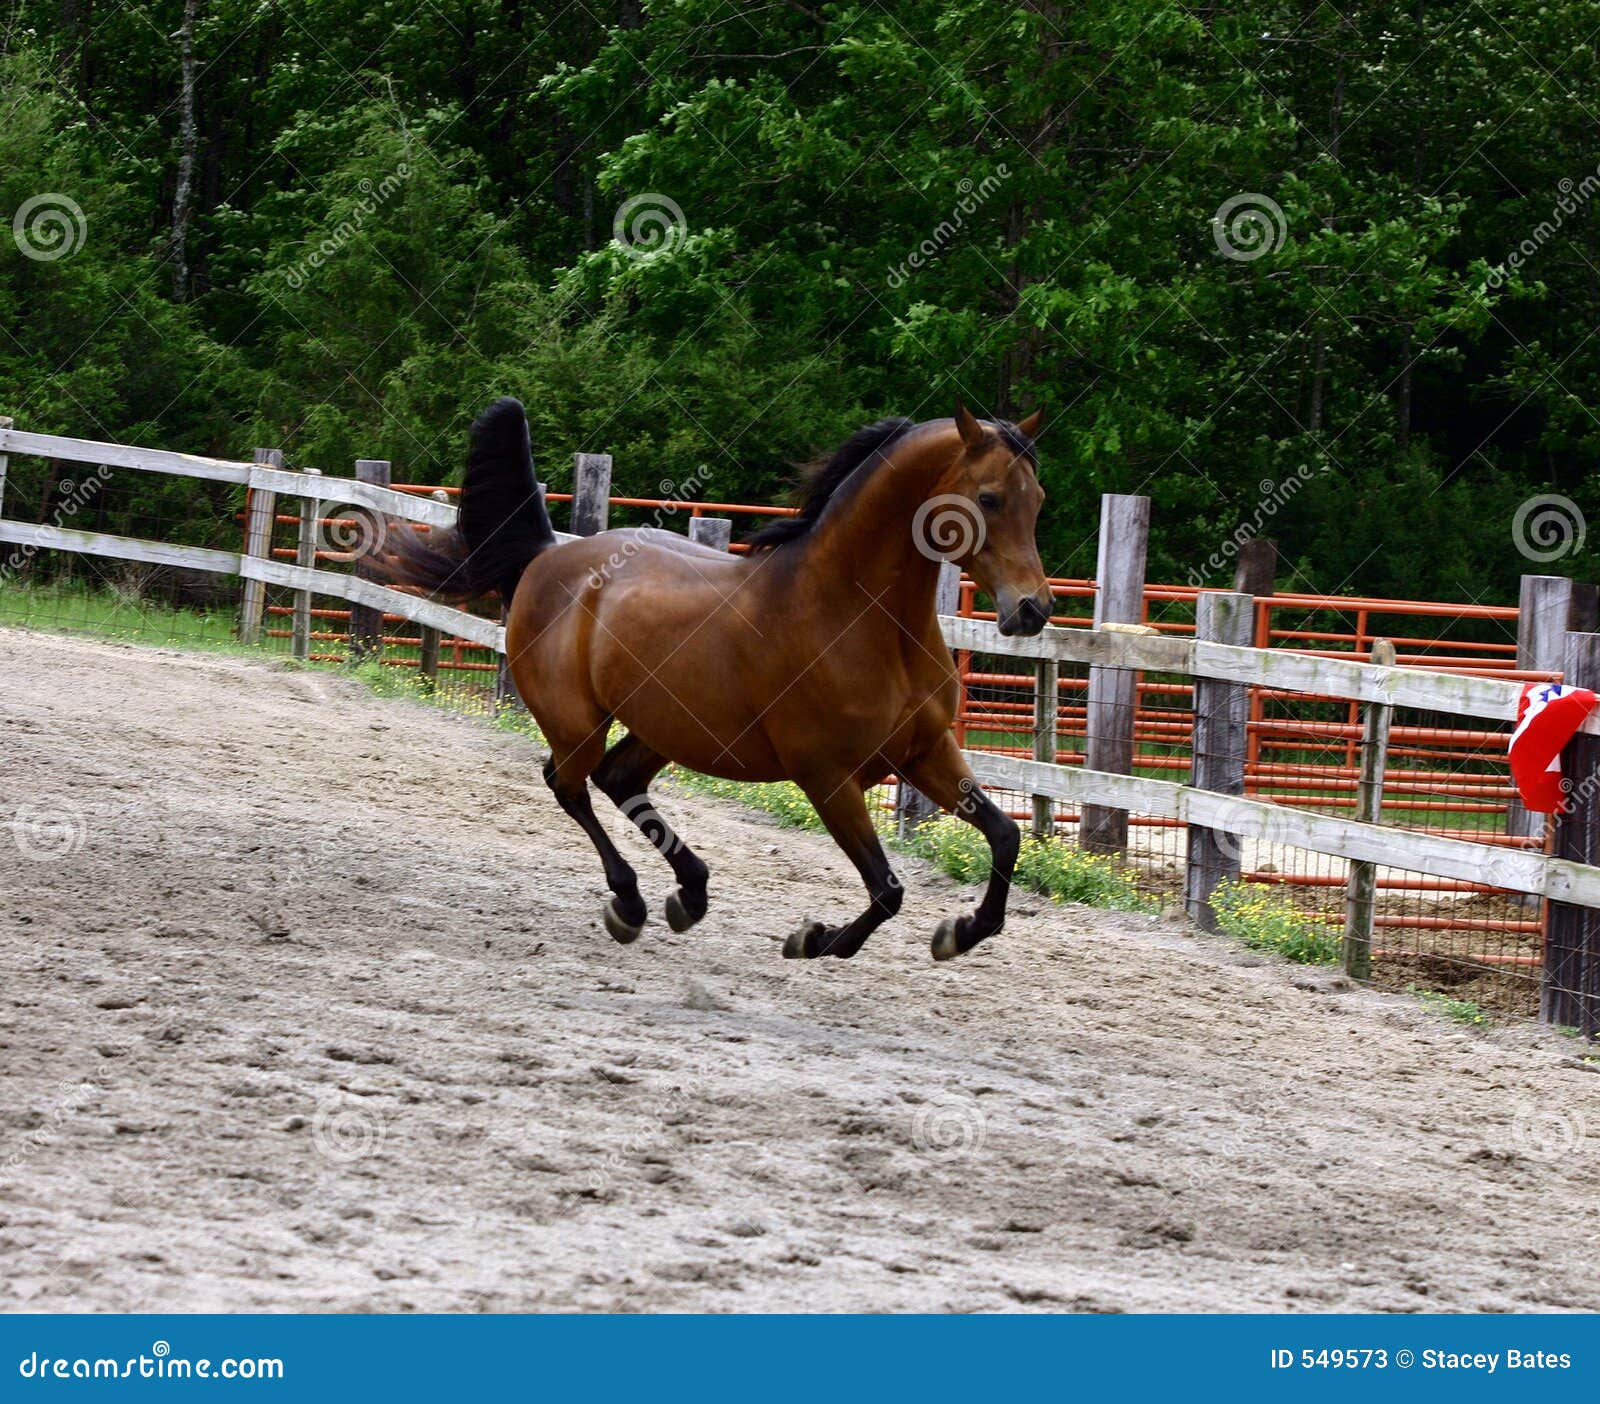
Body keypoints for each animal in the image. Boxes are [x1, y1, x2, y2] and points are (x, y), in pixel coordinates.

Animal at [379, 398, 1051, 962]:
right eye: (990, 498)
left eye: (1038, 498)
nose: (1032, 610)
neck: (857, 615)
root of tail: (548, 554)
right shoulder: (827, 778)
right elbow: (887, 889)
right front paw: (816, 940)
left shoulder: (925, 752)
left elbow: (1005, 836)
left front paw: (963, 931)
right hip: (577, 723)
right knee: (568, 785)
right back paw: (631, 903)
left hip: (666, 727)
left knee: (617, 779)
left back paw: (689, 894)